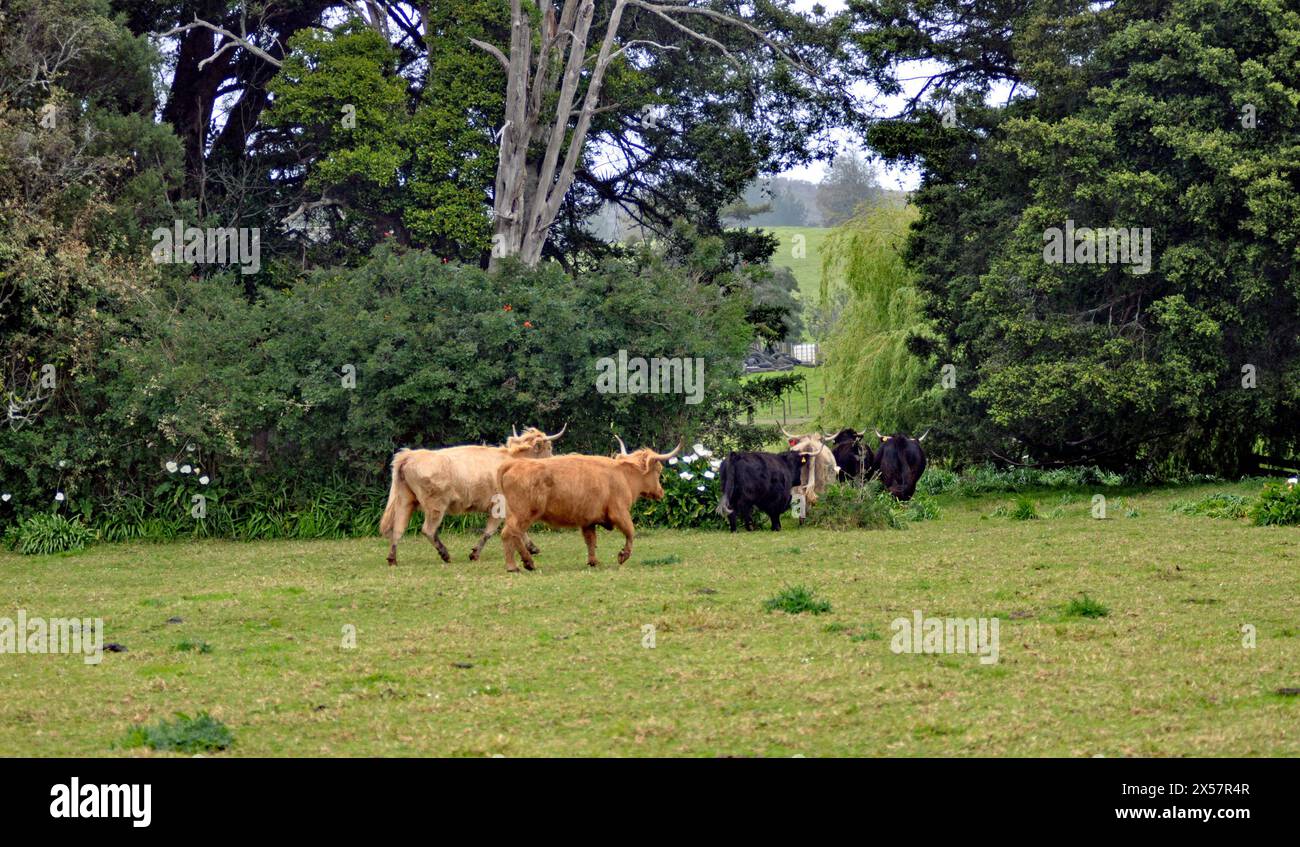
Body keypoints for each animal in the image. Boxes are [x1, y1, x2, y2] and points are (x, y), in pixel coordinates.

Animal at [378, 425, 565, 565]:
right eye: (549, 447)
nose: (555, 461)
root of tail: (409, 455)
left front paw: (532, 548)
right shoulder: (500, 506)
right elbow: (491, 531)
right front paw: (475, 554)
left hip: (405, 501)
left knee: (398, 528)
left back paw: (392, 558)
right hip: (435, 506)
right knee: (428, 530)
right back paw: (445, 554)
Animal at [496, 437, 681, 572]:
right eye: (658, 470)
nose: (661, 492)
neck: (624, 476)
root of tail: (513, 464)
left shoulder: (588, 521)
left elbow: (591, 541)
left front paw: (593, 561)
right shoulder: (619, 512)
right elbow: (630, 532)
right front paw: (623, 555)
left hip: (515, 514)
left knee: (514, 535)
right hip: (523, 514)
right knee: (509, 534)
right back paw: (516, 565)